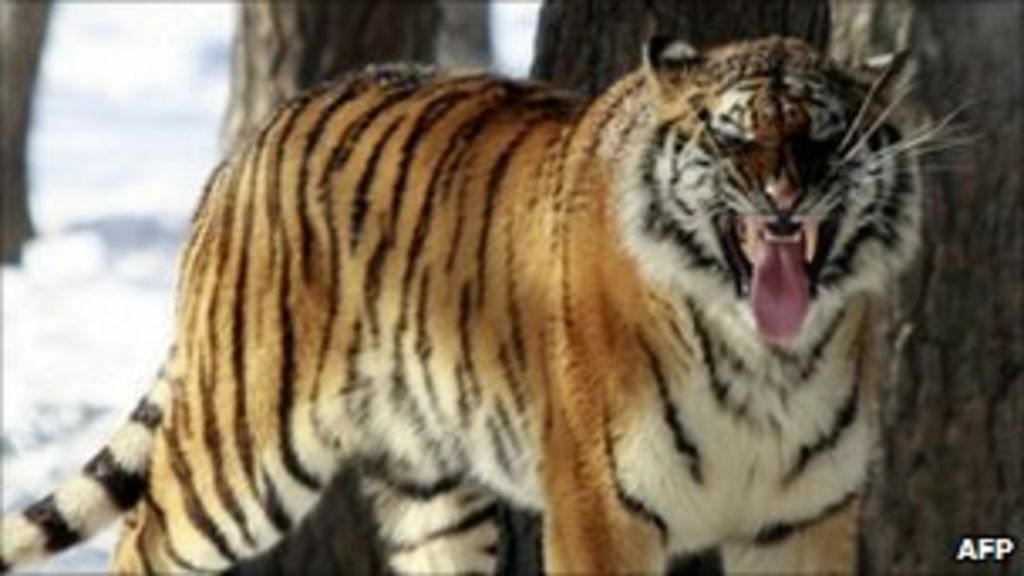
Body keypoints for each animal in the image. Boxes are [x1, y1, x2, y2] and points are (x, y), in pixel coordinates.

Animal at [1, 35, 919, 574]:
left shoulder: (803, 518)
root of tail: (248, 146)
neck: (767, 360)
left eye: (825, 133)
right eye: (734, 135)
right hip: (240, 455)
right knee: (141, 536)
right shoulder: (601, 510)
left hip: (430, 491)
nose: (784, 198)